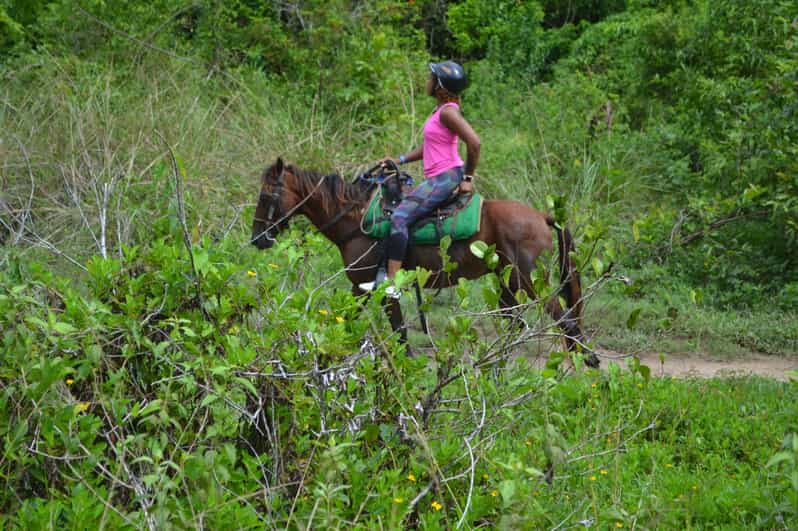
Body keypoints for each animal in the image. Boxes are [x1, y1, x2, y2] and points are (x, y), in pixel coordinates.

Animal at [251, 158, 600, 368]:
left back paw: (590, 359)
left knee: (563, 319)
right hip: (506, 283)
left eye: (266, 196)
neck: (356, 219)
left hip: (527, 280)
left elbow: (397, 331)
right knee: (514, 324)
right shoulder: (361, 288)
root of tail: (543, 216)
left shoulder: (372, 286)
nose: (257, 239)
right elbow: (354, 322)